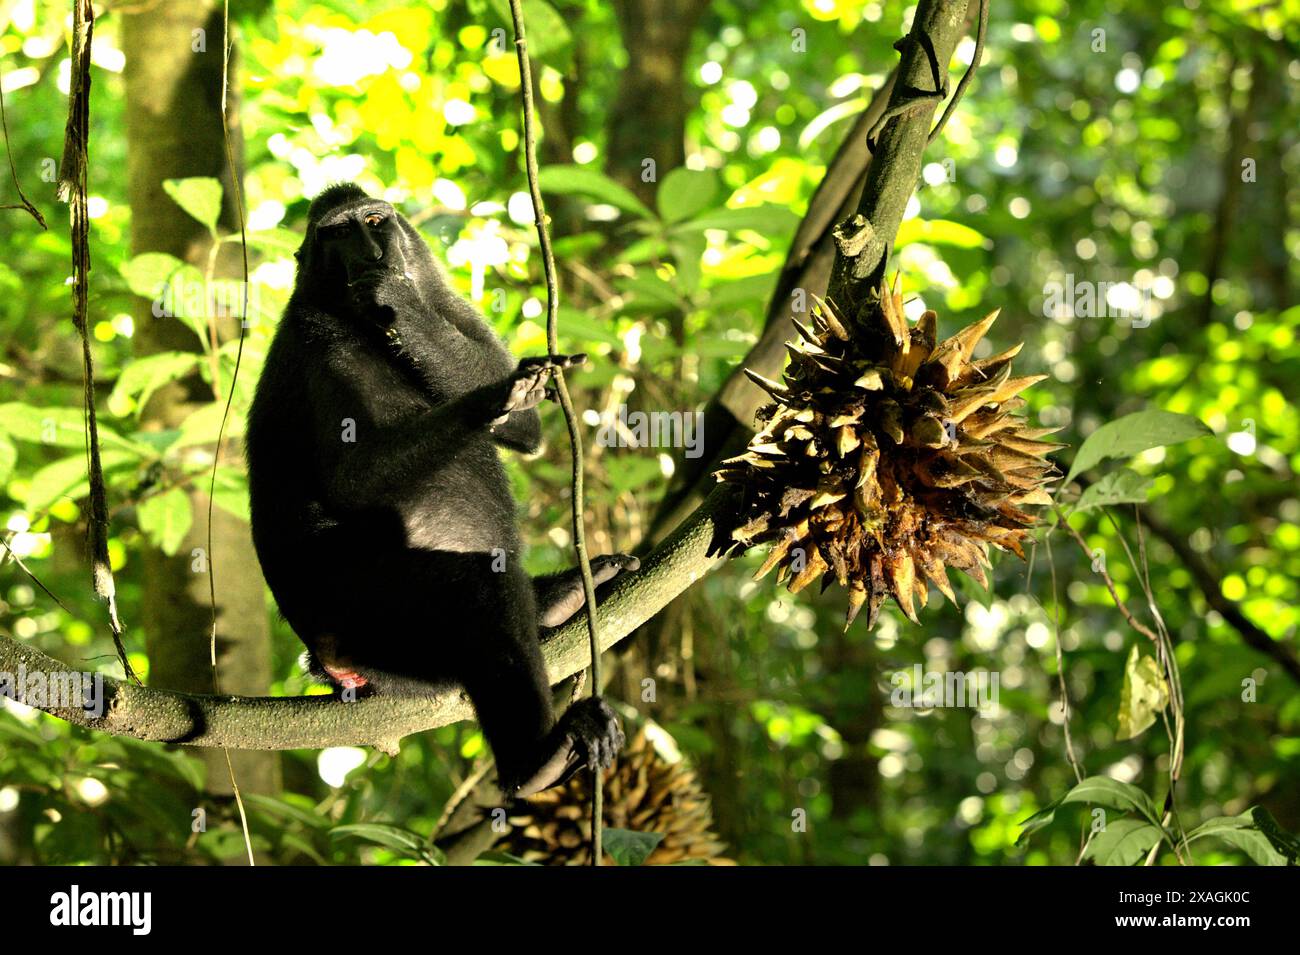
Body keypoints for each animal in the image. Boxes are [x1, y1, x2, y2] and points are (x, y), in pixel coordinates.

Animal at [245, 183, 637, 797]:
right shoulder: (317, 343)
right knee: (479, 592)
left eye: (373, 220)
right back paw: (535, 761)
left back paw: (560, 597)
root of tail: (327, 660)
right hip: (360, 600)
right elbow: (351, 481)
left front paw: (405, 305)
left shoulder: (444, 302)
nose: (372, 254)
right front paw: (496, 393)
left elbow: (524, 426)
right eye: (338, 232)